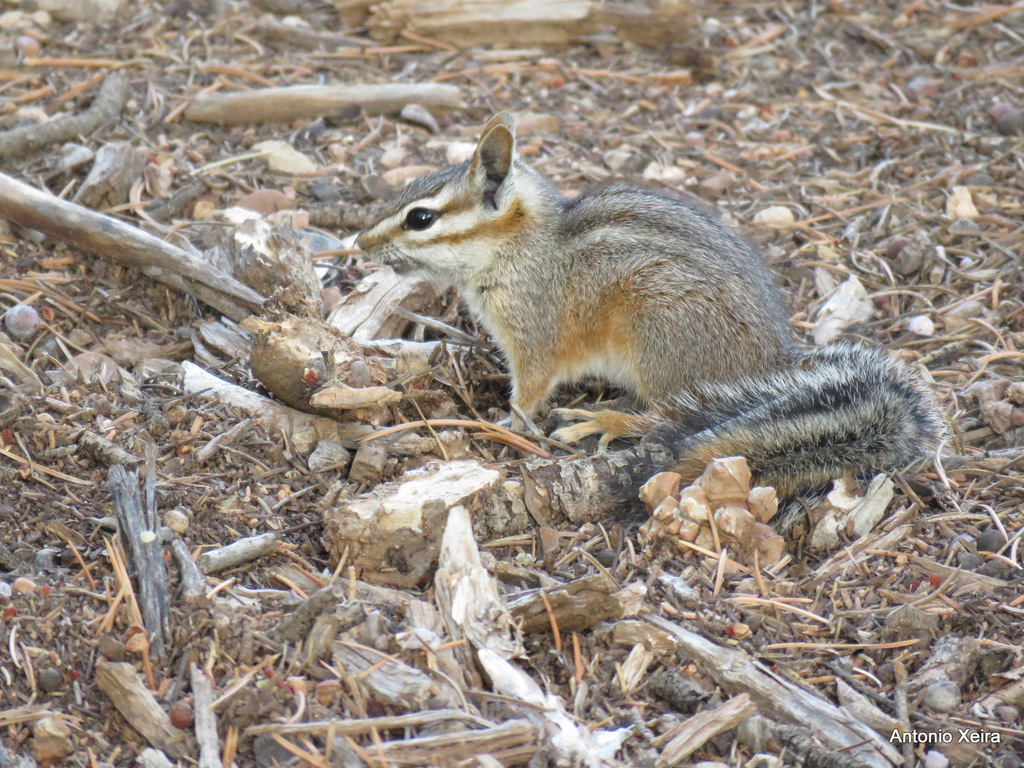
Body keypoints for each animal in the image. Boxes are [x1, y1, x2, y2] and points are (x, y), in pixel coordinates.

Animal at [357, 112, 944, 529]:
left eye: (421, 218)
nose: (360, 242)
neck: (521, 246)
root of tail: (778, 361)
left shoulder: (534, 337)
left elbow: (529, 392)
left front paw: (505, 424)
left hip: (656, 332)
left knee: (661, 415)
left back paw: (604, 421)